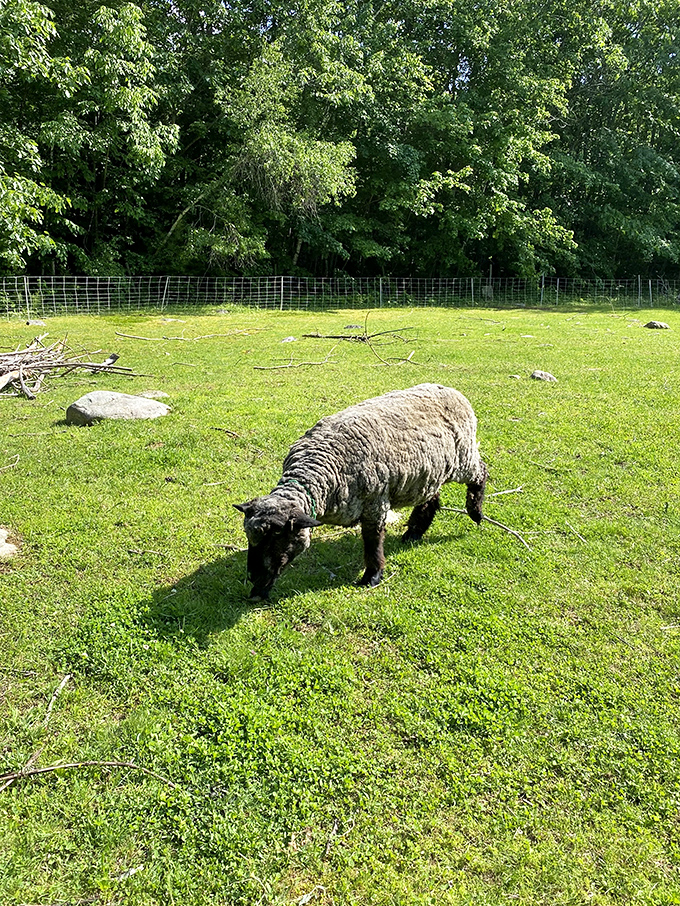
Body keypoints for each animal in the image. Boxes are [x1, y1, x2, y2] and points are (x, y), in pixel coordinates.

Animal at [234, 383, 488, 600]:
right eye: (250, 539)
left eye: (276, 537)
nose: (253, 577)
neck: (322, 473)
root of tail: (451, 390)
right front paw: (259, 591)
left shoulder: (375, 504)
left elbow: (373, 542)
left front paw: (372, 577)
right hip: (429, 473)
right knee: (430, 498)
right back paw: (414, 532)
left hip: (464, 457)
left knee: (481, 472)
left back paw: (475, 512)